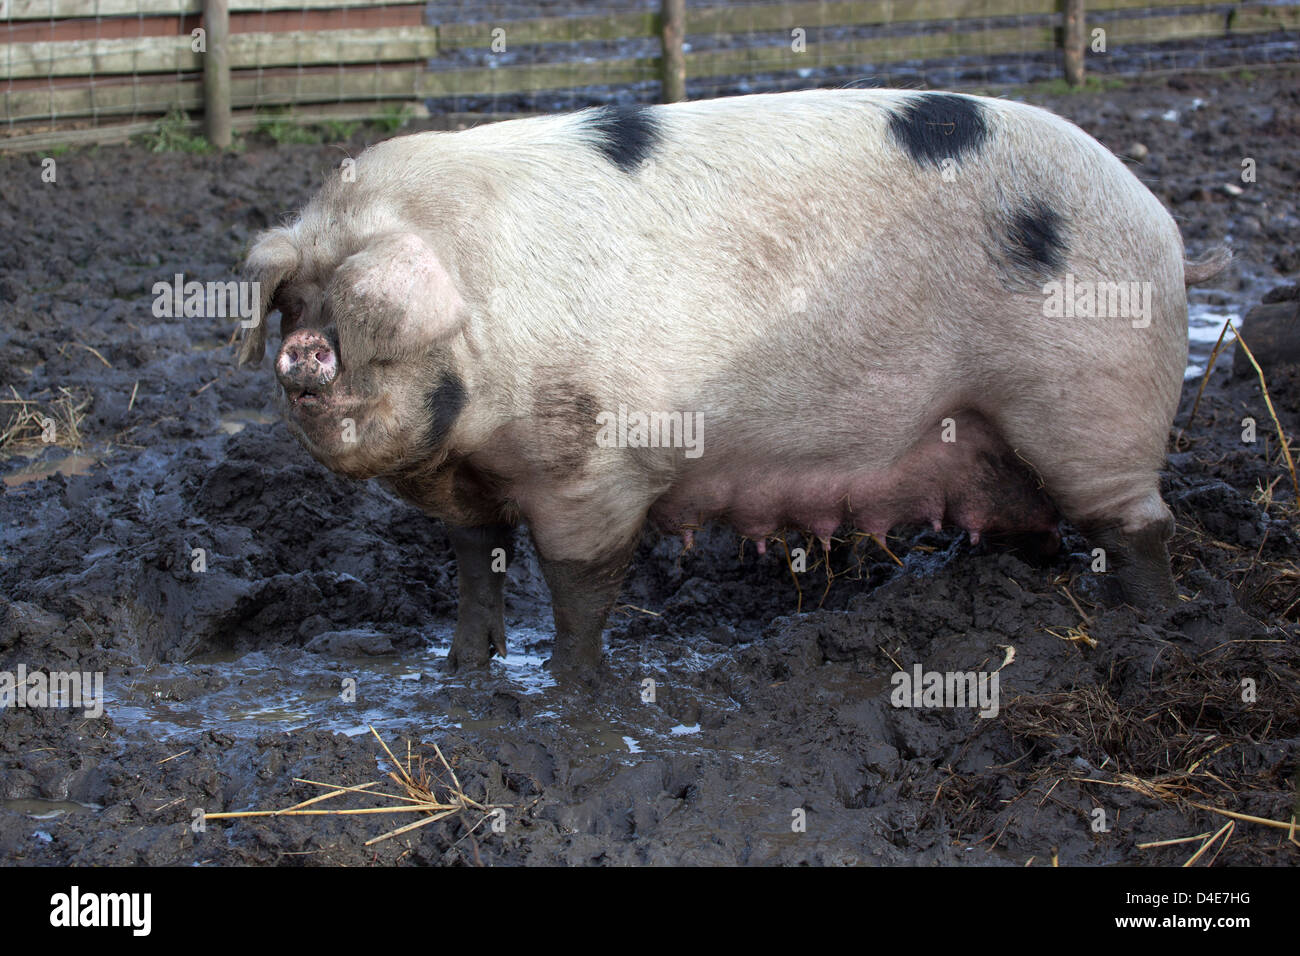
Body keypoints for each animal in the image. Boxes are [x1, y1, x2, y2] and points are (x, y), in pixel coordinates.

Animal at [238, 89, 1229, 673]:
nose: (302, 353)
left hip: (1096, 404)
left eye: (365, 315)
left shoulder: (593, 467)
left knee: (1139, 528)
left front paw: (575, 688)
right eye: (297, 305)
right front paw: (462, 672)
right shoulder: (474, 490)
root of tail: (1162, 220)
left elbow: (579, 590)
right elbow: (476, 567)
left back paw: (1156, 625)